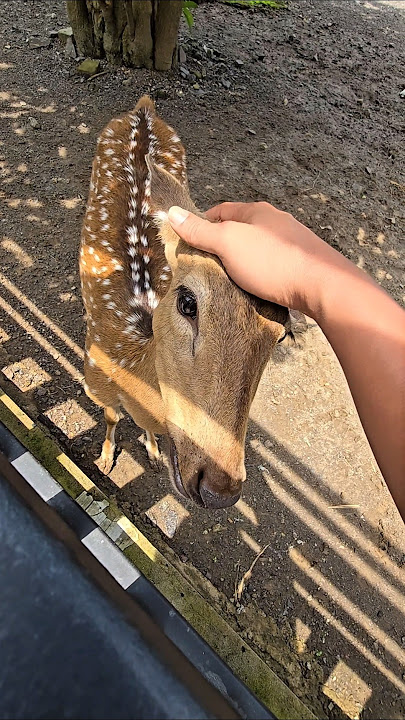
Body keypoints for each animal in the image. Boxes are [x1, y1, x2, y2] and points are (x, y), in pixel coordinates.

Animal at [79, 96, 290, 510]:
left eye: (282, 334)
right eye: (188, 302)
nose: (219, 489)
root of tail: (143, 108)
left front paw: (151, 449)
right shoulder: (93, 377)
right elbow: (110, 418)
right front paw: (106, 458)